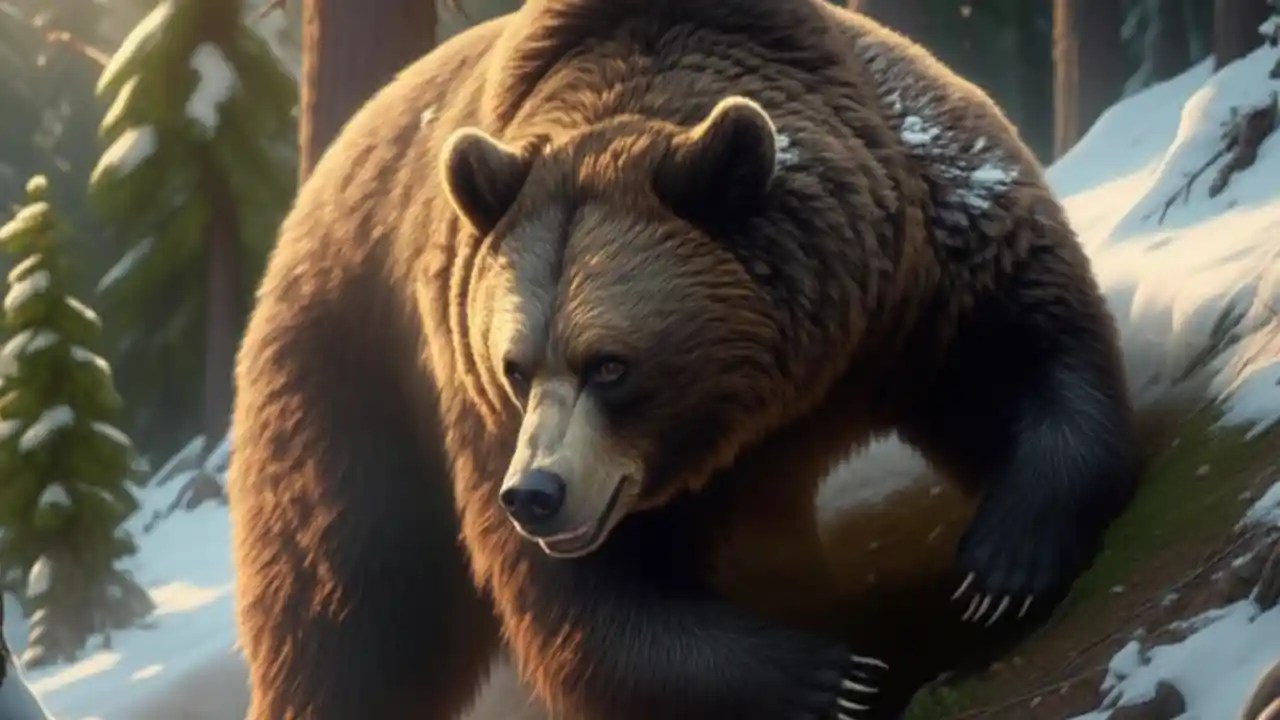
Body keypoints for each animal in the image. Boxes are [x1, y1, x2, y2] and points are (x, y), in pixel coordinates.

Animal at [227, 1, 1141, 718]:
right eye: (516, 367)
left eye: (609, 364)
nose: (537, 495)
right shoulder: (477, 412)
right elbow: (588, 608)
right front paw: (834, 676)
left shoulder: (919, 258)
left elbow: (1023, 350)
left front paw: (1000, 566)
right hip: (344, 392)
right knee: (348, 610)